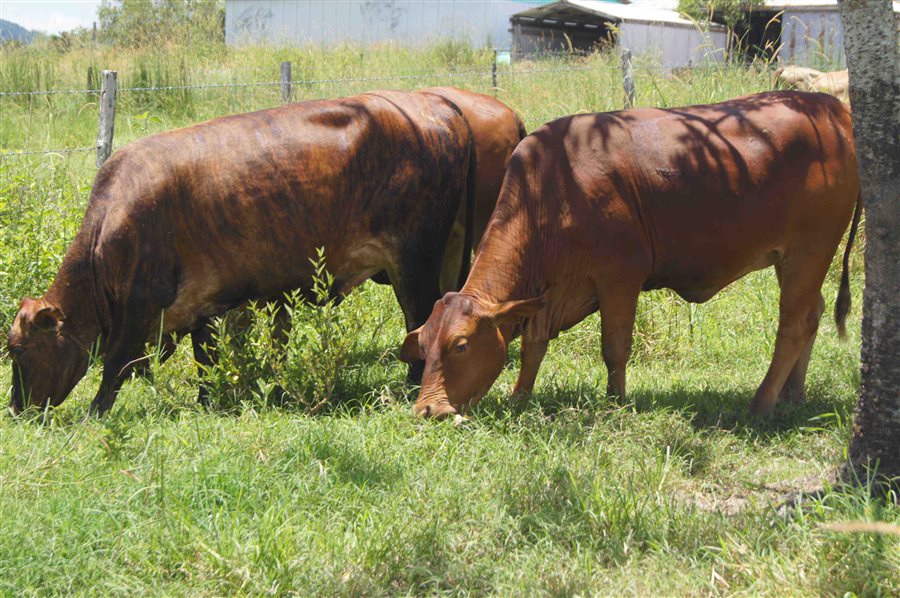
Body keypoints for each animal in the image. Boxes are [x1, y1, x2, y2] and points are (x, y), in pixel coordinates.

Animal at [6, 89, 522, 416]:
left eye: (19, 350)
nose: (14, 410)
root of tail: (437, 104)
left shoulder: (138, 307)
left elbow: (113, 367)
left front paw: (94, 414)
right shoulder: (204, 306)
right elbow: (207, 360)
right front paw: (207, 402)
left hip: (413, 262)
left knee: (420, 316)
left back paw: (413, 384)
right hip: (446, 255)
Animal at [401, 91, 860, 419]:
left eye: (460, 346)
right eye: (424, 344)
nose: (427, 409)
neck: (551, 189)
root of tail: (831, 107)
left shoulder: (619, 278)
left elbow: (615, 346)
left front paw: (615, 400)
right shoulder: (546, 297)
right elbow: (534, 346)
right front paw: (519, 397)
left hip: (810, 249)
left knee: (793, 325)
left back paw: (762, 402)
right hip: (795, 259)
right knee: (813, 313)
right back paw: (792, 394)